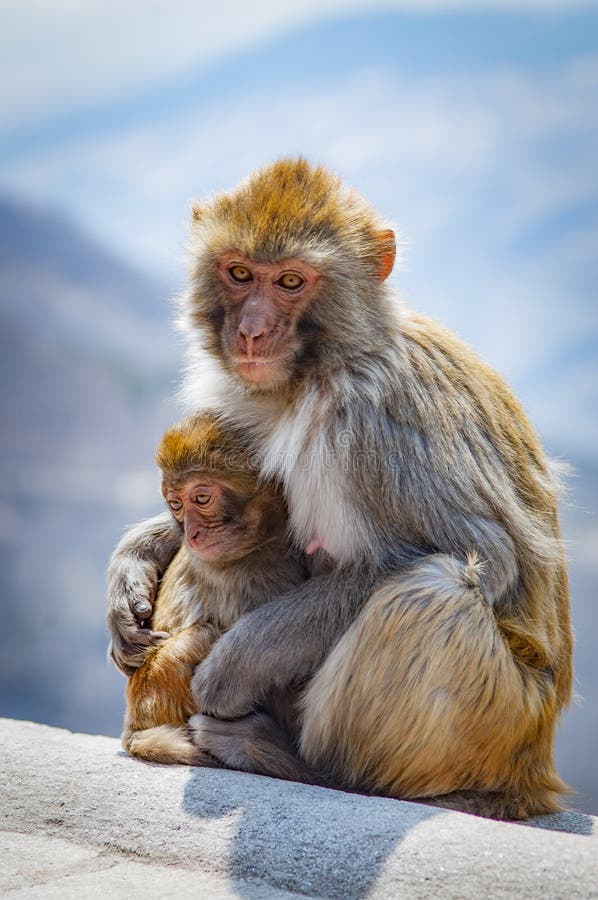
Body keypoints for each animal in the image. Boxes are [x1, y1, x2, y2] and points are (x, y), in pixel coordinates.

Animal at [121, 411, 316, 779]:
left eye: (201, 499)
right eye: (176, 505)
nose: (192, 533)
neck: (261, 545)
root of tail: (133, 731)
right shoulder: (245, 579)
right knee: (201, 637)